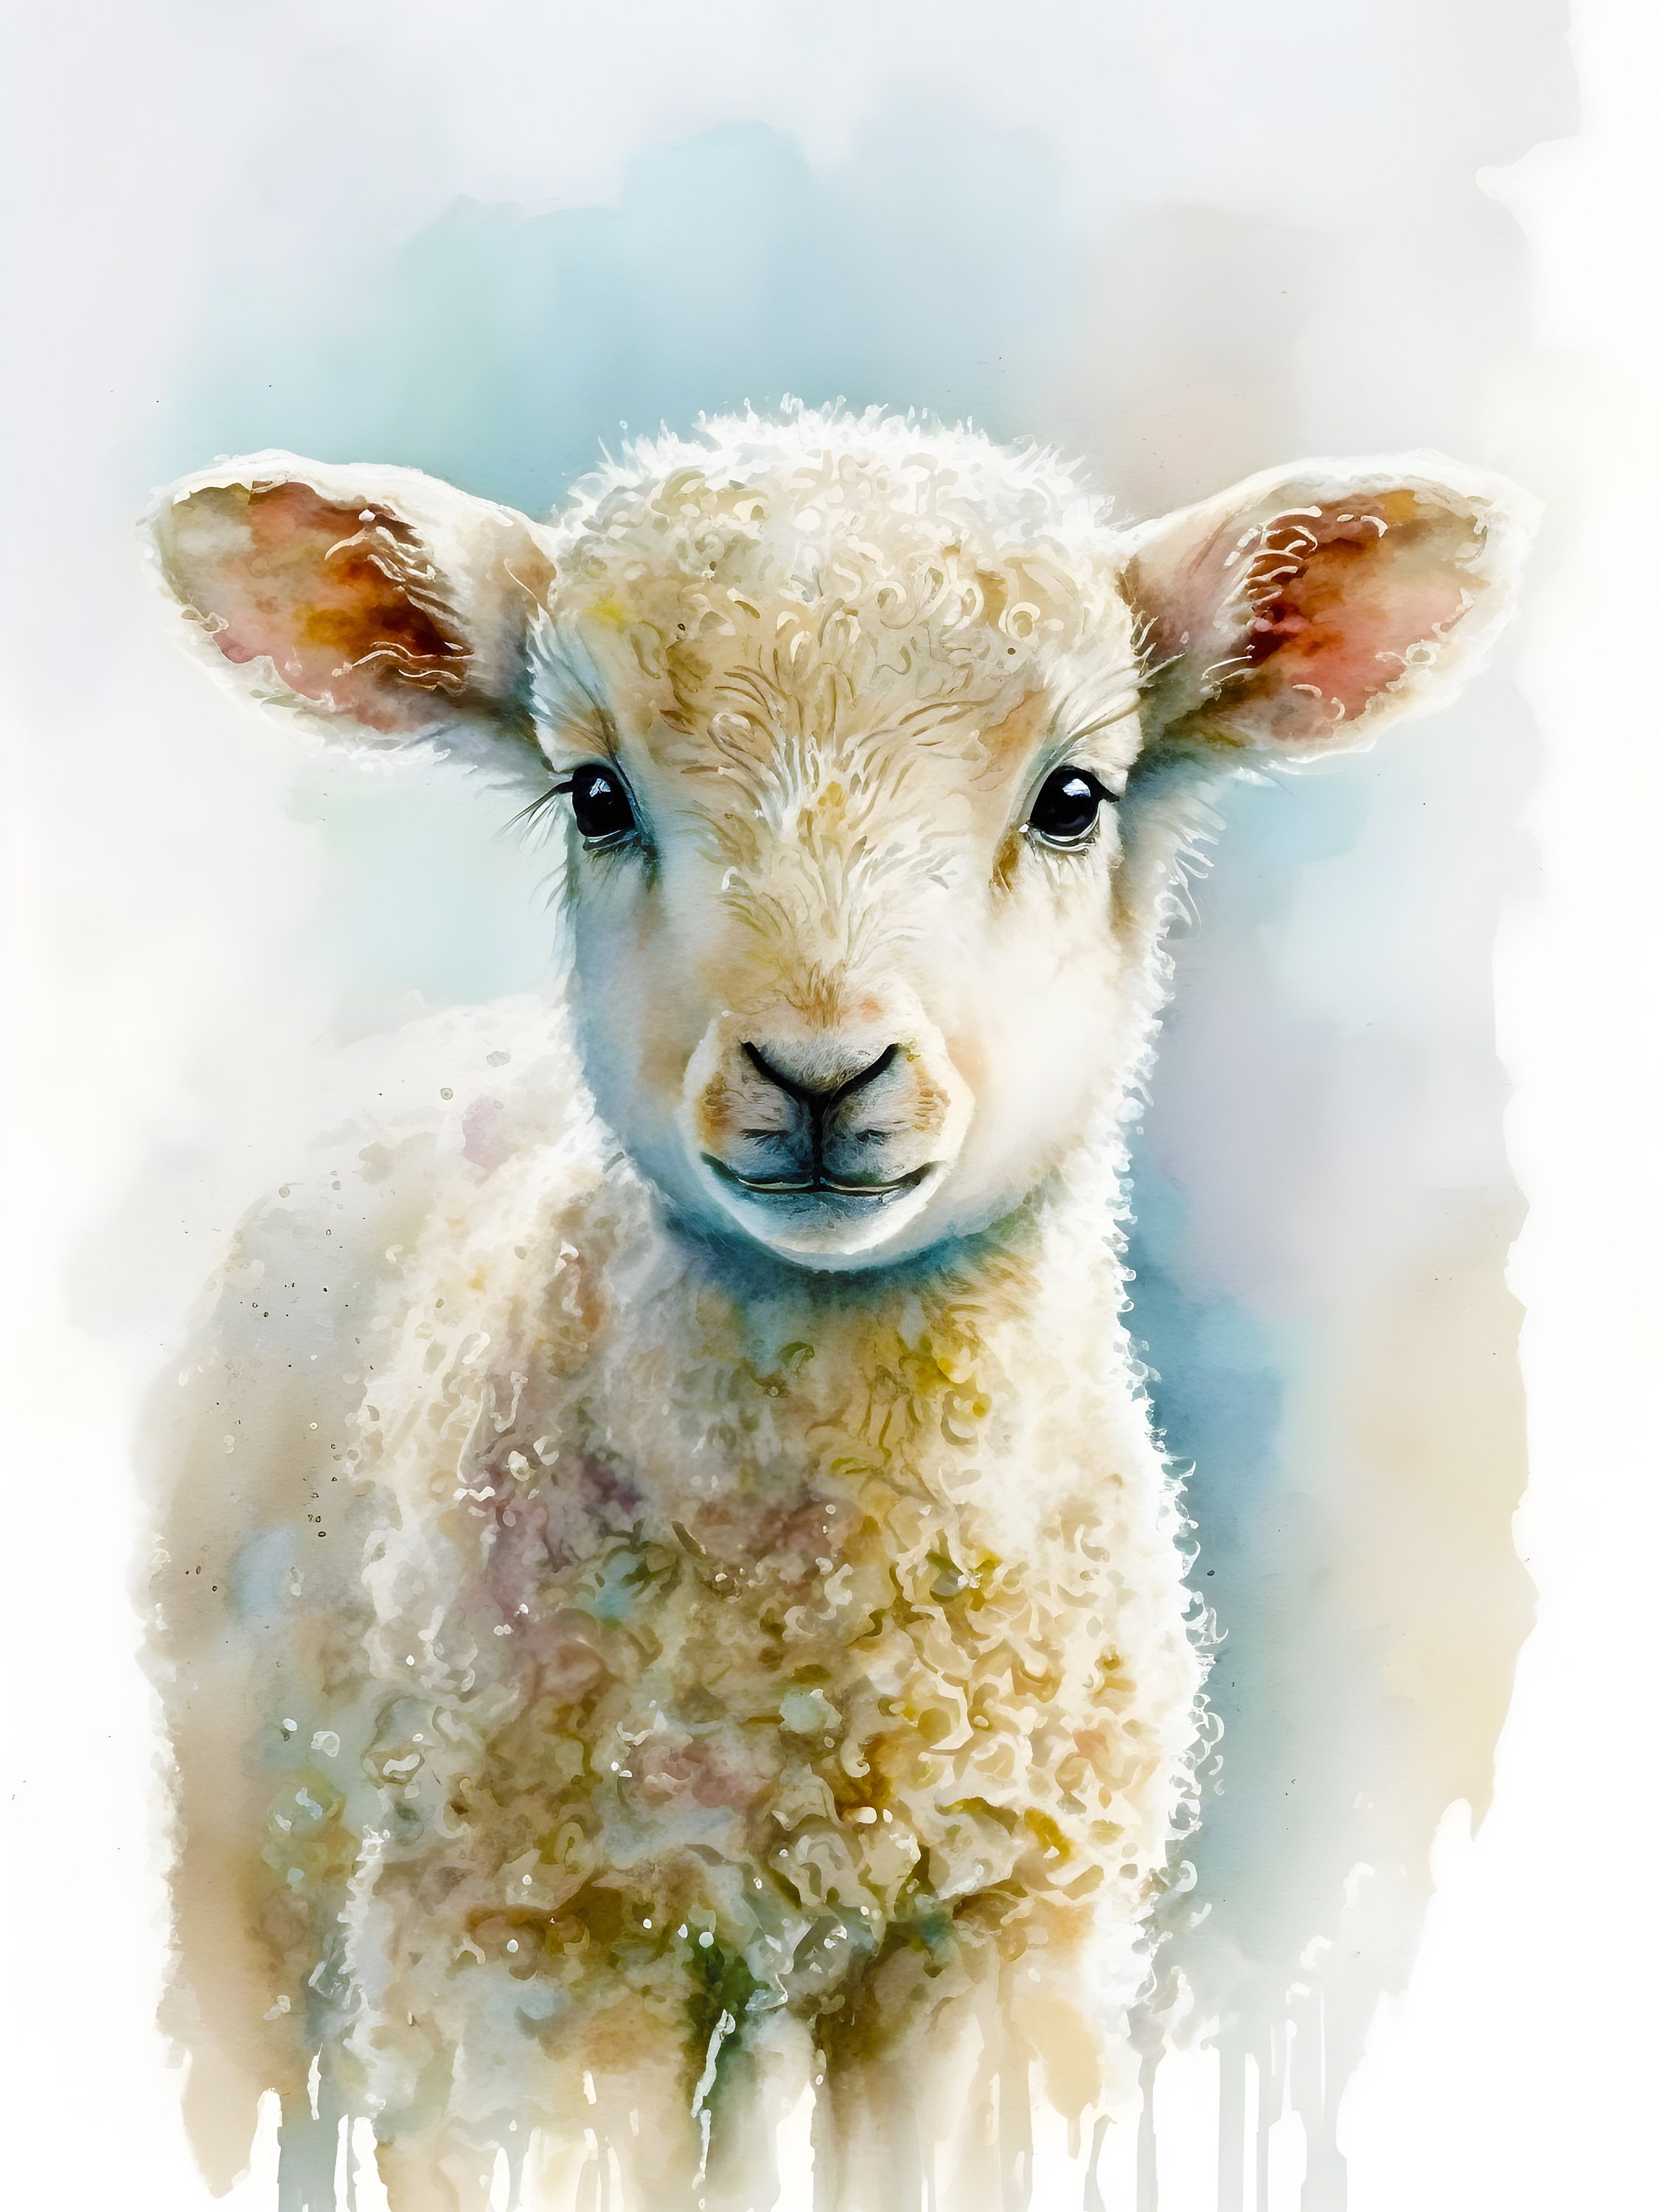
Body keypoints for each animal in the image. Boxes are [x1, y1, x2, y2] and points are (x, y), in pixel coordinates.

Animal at [141, 405, 1529, 2212]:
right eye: (597, 797)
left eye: (1073, 798)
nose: (820, 1072)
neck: (828, 1657)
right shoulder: (517, 1947)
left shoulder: (1003, 1935)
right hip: (247, 1823)